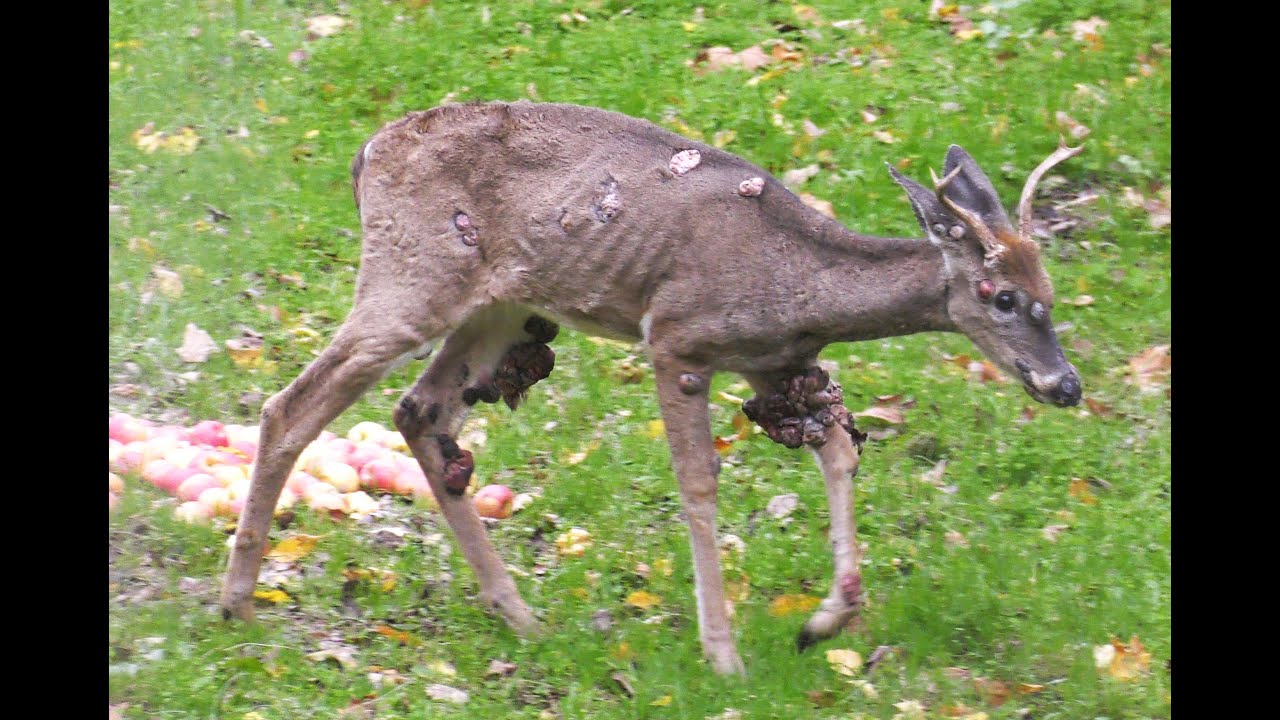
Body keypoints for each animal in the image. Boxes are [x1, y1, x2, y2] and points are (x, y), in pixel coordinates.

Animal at [218, 101, 1084, 676]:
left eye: (1052, 288)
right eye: (1001, 297)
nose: (1065, 383)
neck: (800, 283)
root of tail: (366, 155)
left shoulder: (776, 364)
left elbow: (841, 453)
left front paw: (825, 621)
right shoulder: (678, 339)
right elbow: (698, 485)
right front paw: (724, 655)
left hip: (504, 306)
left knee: (420, 413)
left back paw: (521, 616)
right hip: (411, 275)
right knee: (290, 406)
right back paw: (235, 600)